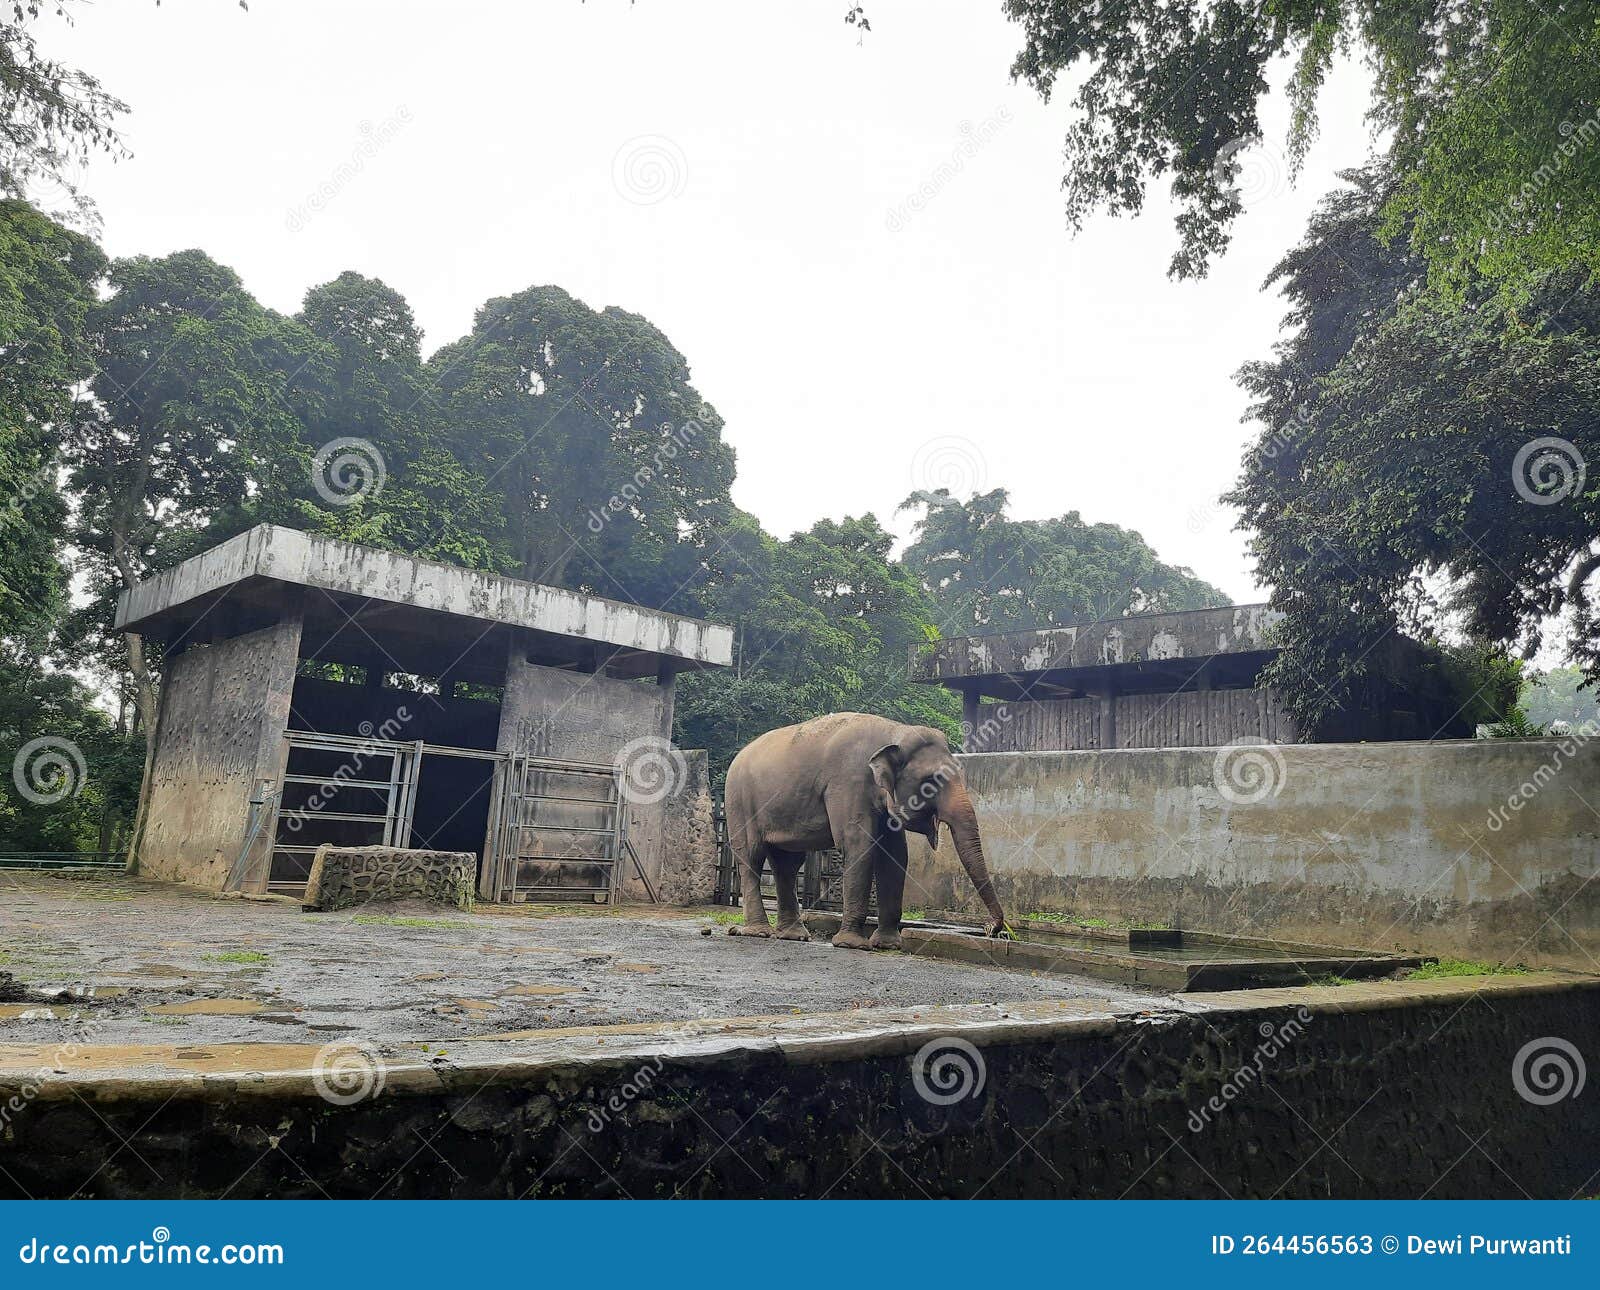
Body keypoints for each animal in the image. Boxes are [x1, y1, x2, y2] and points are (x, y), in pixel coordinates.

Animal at [722, 712, 1007, 950]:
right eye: (932, 781)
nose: (992, 929)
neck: (894, 731)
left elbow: (895, 855)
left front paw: (888, 945)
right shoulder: (847, 783)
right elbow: (858, 845)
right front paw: (852, 944)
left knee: (787, 864)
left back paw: (794, 936)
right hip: (739, 801)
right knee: (751, 857)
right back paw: (758, 932)